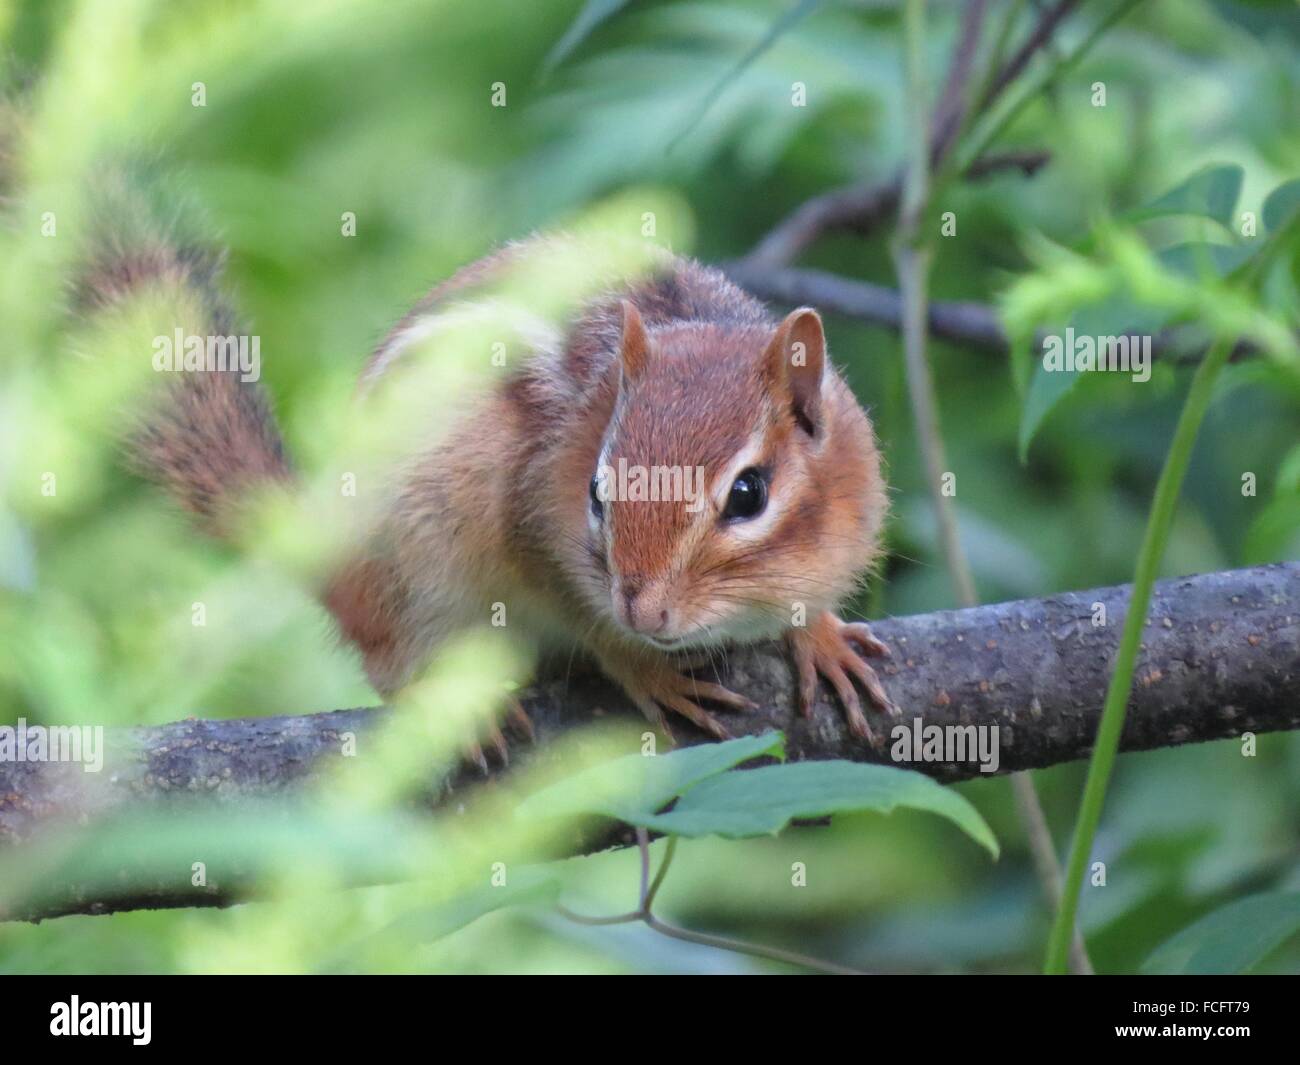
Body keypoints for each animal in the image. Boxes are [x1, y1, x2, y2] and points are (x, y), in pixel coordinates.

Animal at [80, 218, 895, 756]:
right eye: (596, 492)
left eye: (749, 494)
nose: (643, 607)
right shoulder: (534, 525)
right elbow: (588, 619)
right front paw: (646, 670)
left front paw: (819, 635)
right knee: (390, 658)